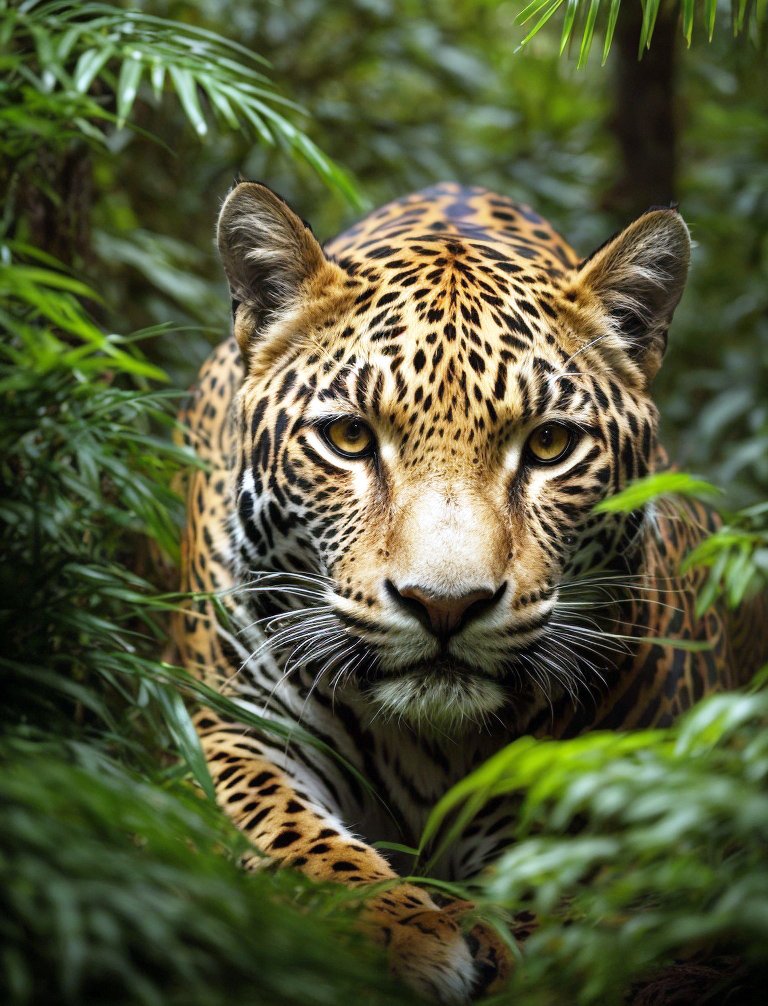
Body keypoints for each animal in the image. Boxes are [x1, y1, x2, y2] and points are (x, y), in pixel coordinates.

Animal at [173, 181, 766, 1004]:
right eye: (349, 438)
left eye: (549, 444)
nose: (444, 605)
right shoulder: (232, 730)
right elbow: (291, 840)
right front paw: (400, 932)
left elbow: (561, 882)